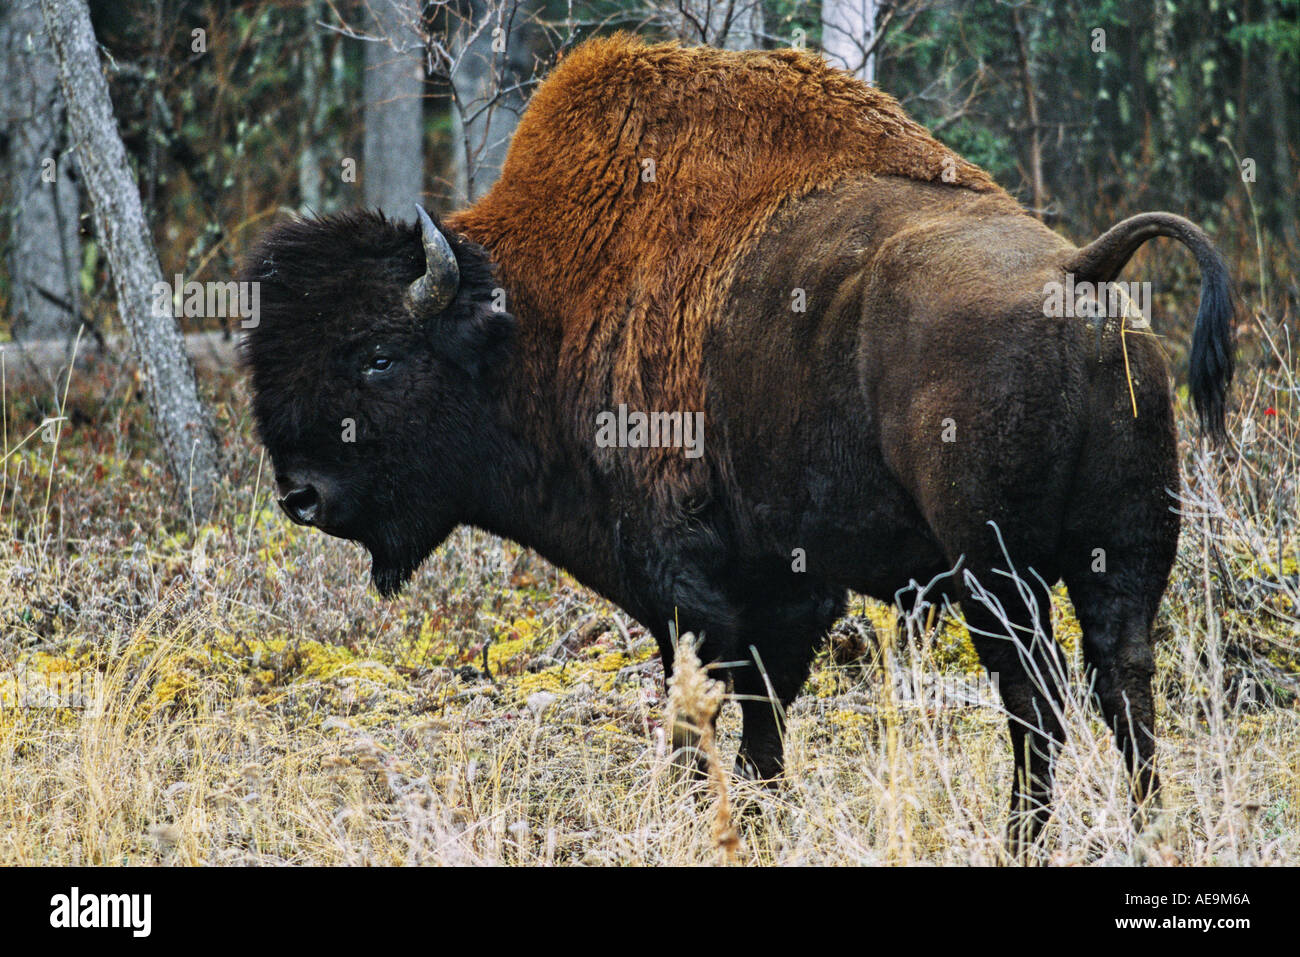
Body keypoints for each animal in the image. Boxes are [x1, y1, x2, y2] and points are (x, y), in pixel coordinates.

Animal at [242, 36, 1233, 855]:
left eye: (377, 355)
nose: (302, 495)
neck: (531, 313)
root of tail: (1078, 270)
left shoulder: (686, 578)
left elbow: (706, 706)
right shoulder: (784, 583)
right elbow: (765, 714)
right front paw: (759, 814)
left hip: (996, 570)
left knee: (1038, 695)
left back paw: (1022, 840)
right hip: (1126, 551)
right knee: (1124, 677)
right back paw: (1147, 828)